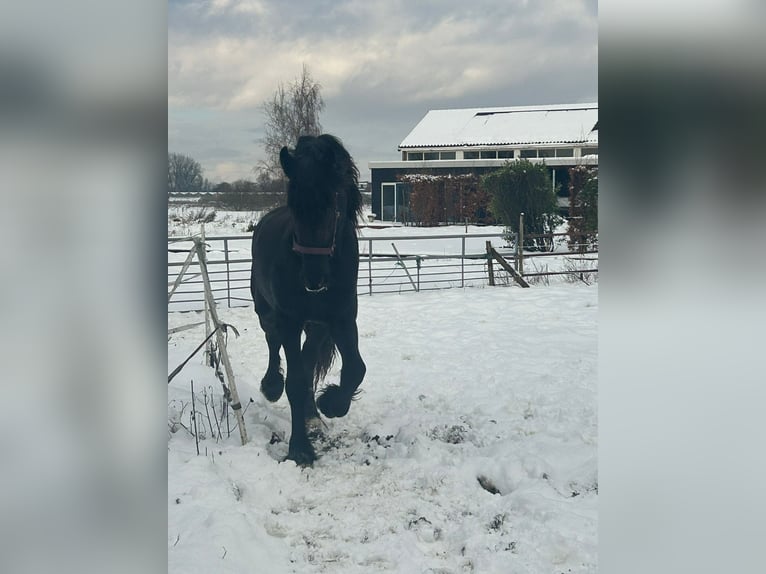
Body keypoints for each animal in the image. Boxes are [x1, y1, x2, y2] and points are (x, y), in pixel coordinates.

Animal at [250, 134, 367, 466]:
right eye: (295, 206)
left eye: (333, 201)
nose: (314, 279)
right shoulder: (289, 319)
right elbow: (296, 382)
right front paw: (300, 448)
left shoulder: (342, 318)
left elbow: (355, 369)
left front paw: (331, 404)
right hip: (267, 313)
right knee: (274, 344)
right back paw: (271, 386)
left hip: (317, 327)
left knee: (308, 358)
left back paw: (312, 413)